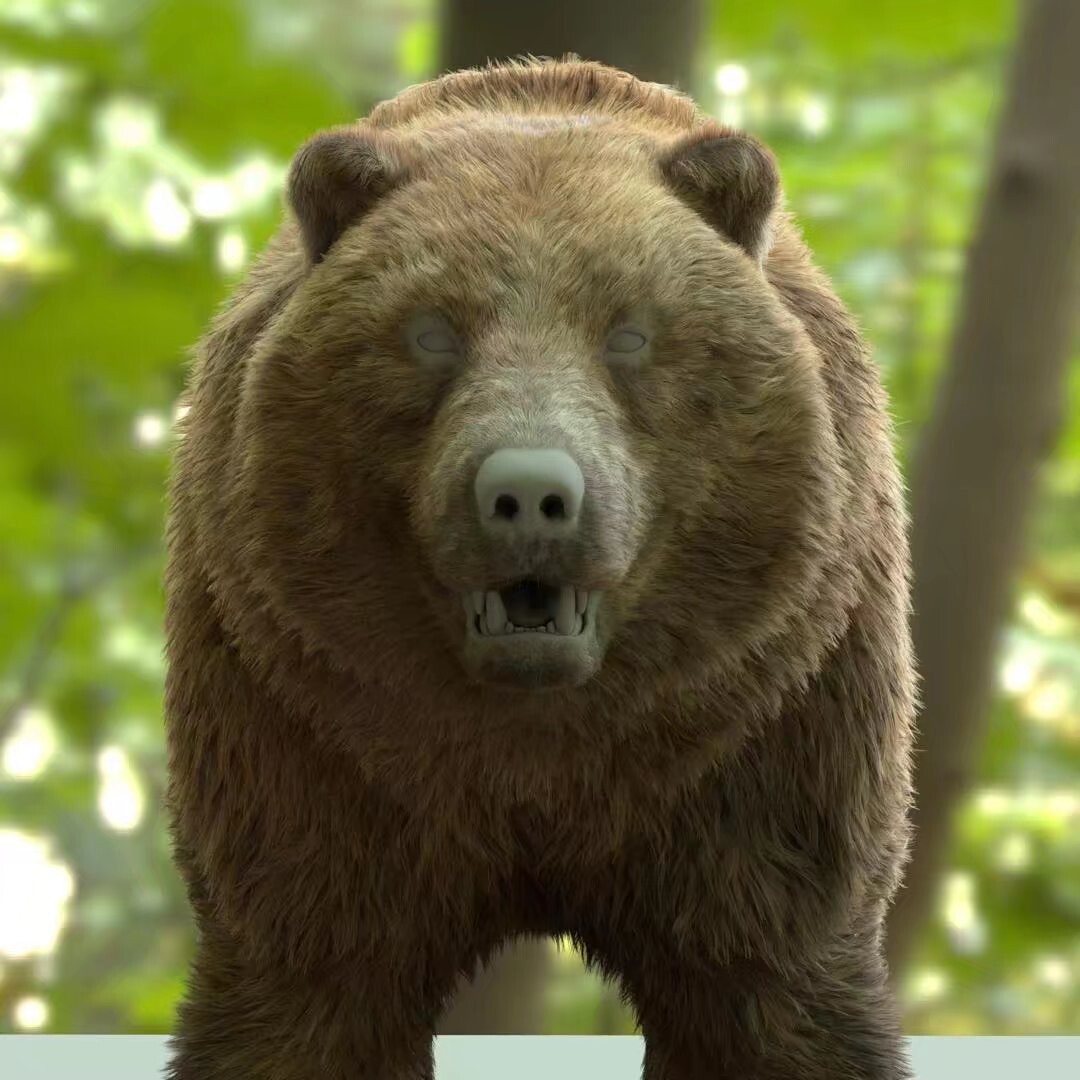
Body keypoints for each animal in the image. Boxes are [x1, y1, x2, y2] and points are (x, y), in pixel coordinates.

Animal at [163, 55, 917, 1080]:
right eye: (431, 329)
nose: (529, 494)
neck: (539, 757)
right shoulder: (306, 738)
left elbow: (767, 982)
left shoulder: (767, 743)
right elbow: (309, 980)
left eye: (630, 332)